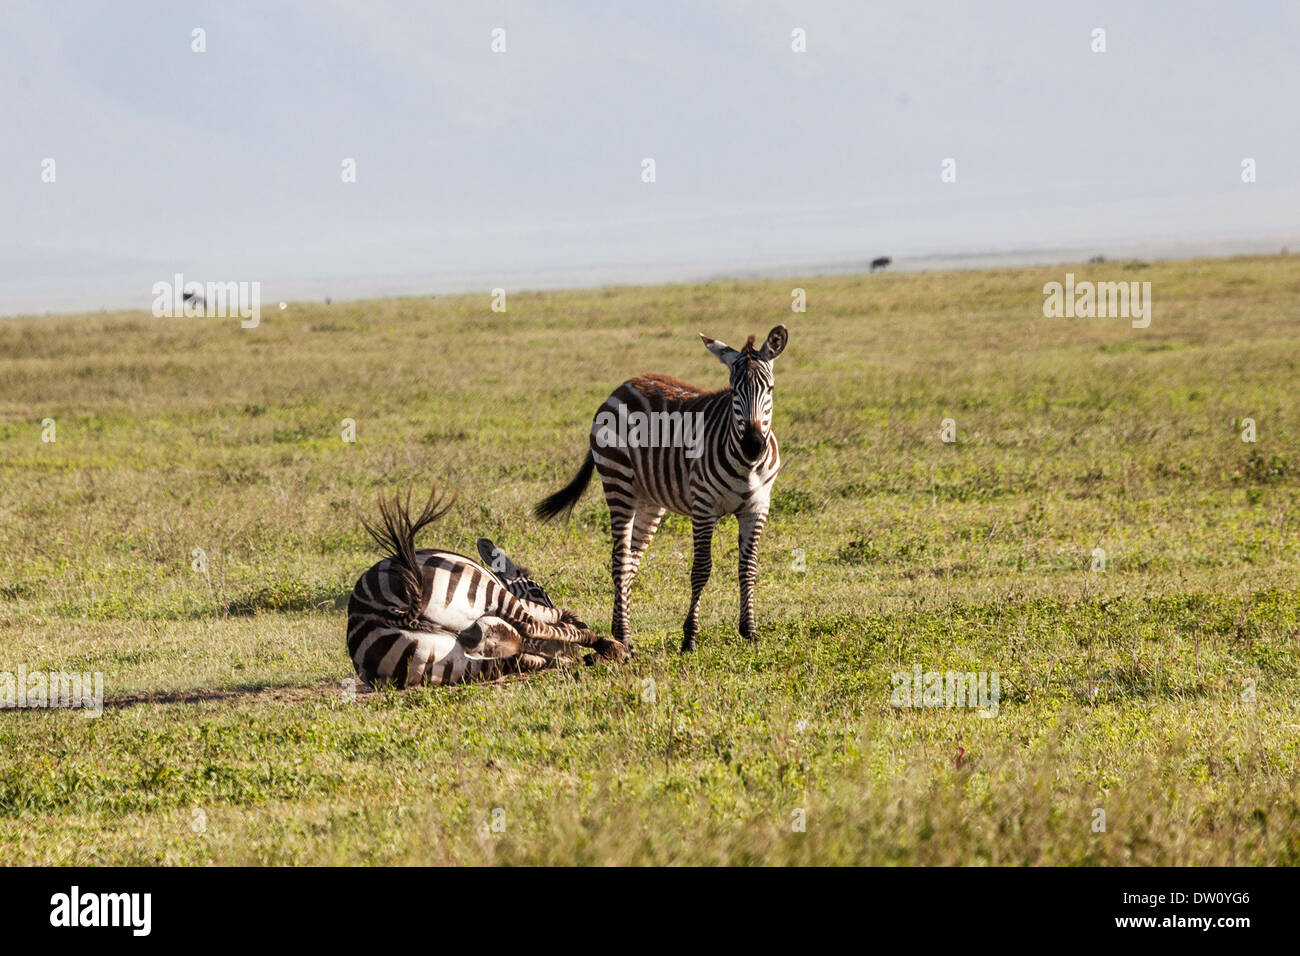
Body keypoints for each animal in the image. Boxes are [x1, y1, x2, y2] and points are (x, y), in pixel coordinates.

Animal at [347, 485, 628, 687]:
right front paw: (593, 640)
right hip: (484, 591)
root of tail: (377, 611)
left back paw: (568, 659)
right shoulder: (523, 601)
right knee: (530, 626)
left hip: (445, 664)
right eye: (536, 590)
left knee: (511, 660)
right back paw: (605, 649)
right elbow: (560, 616)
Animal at [535, 325, 787, 653]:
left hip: (650, 501)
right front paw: (689, 637)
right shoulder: (704, 507)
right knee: (620, 560)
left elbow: (749, 568)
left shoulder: (757, 508)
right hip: (619, 483)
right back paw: (625, 637)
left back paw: (620, 632)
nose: (754, 444)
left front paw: (750, 631)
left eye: (769, 389)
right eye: (733, 391)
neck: (747, 465)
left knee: (631, 561)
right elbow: (701, 569)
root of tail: (623, 385)